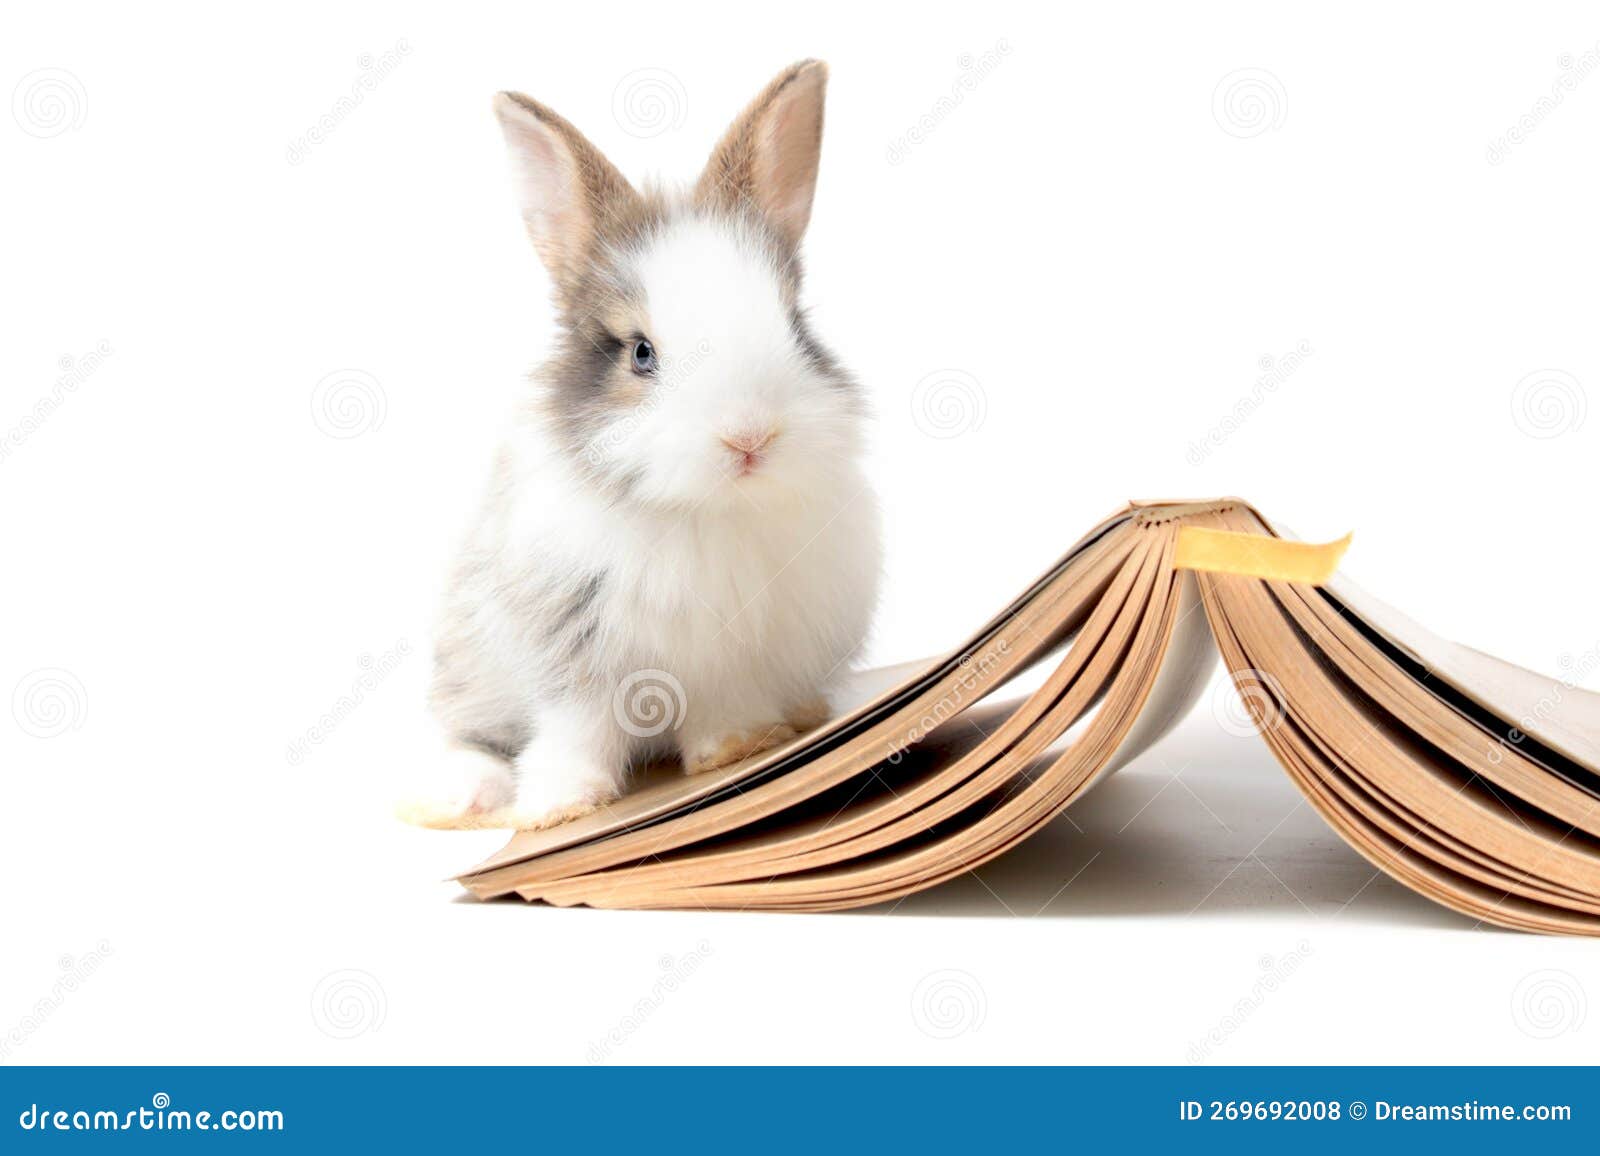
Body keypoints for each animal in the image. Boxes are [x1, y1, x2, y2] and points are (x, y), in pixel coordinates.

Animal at [419, 61, 881, 829]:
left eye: (793, 327)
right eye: (641, 354)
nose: (749, 436)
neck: (703, 510)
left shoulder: (734, 655)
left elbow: (725, 707)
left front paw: (737, 748)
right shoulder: (571, 653)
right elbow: (575, 727)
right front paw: (559, 808)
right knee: (467, 733)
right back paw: (453, 800)